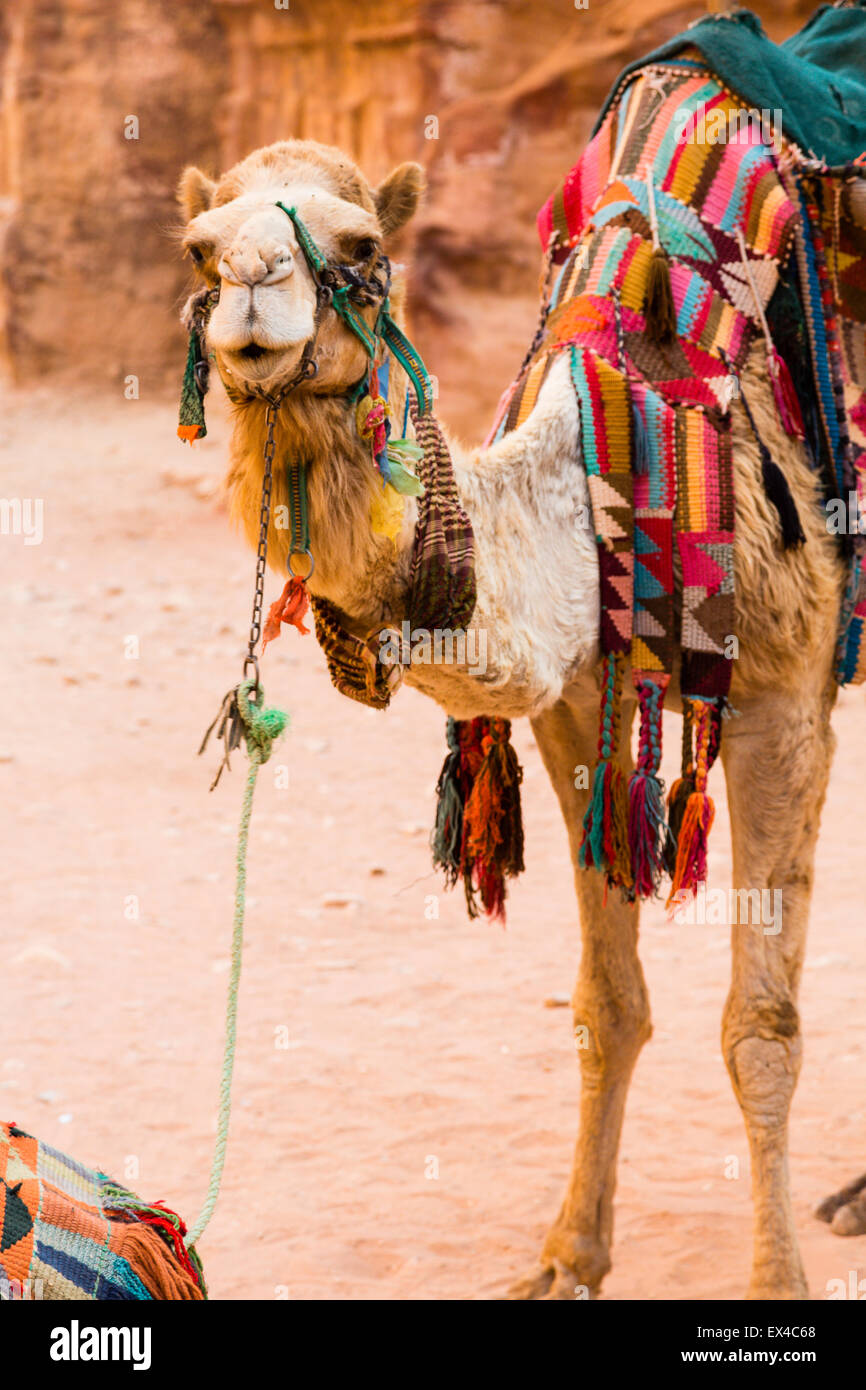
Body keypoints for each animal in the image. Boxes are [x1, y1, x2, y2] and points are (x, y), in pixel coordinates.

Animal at [177, 133, 852, 1301]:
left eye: (363, 243)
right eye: (200, 247)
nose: (257, 290)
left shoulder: (783, 695)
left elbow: (761, 1028)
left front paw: (777, 1283)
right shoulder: (578, 710)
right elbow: (606, 1006)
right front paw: (568, 1255)